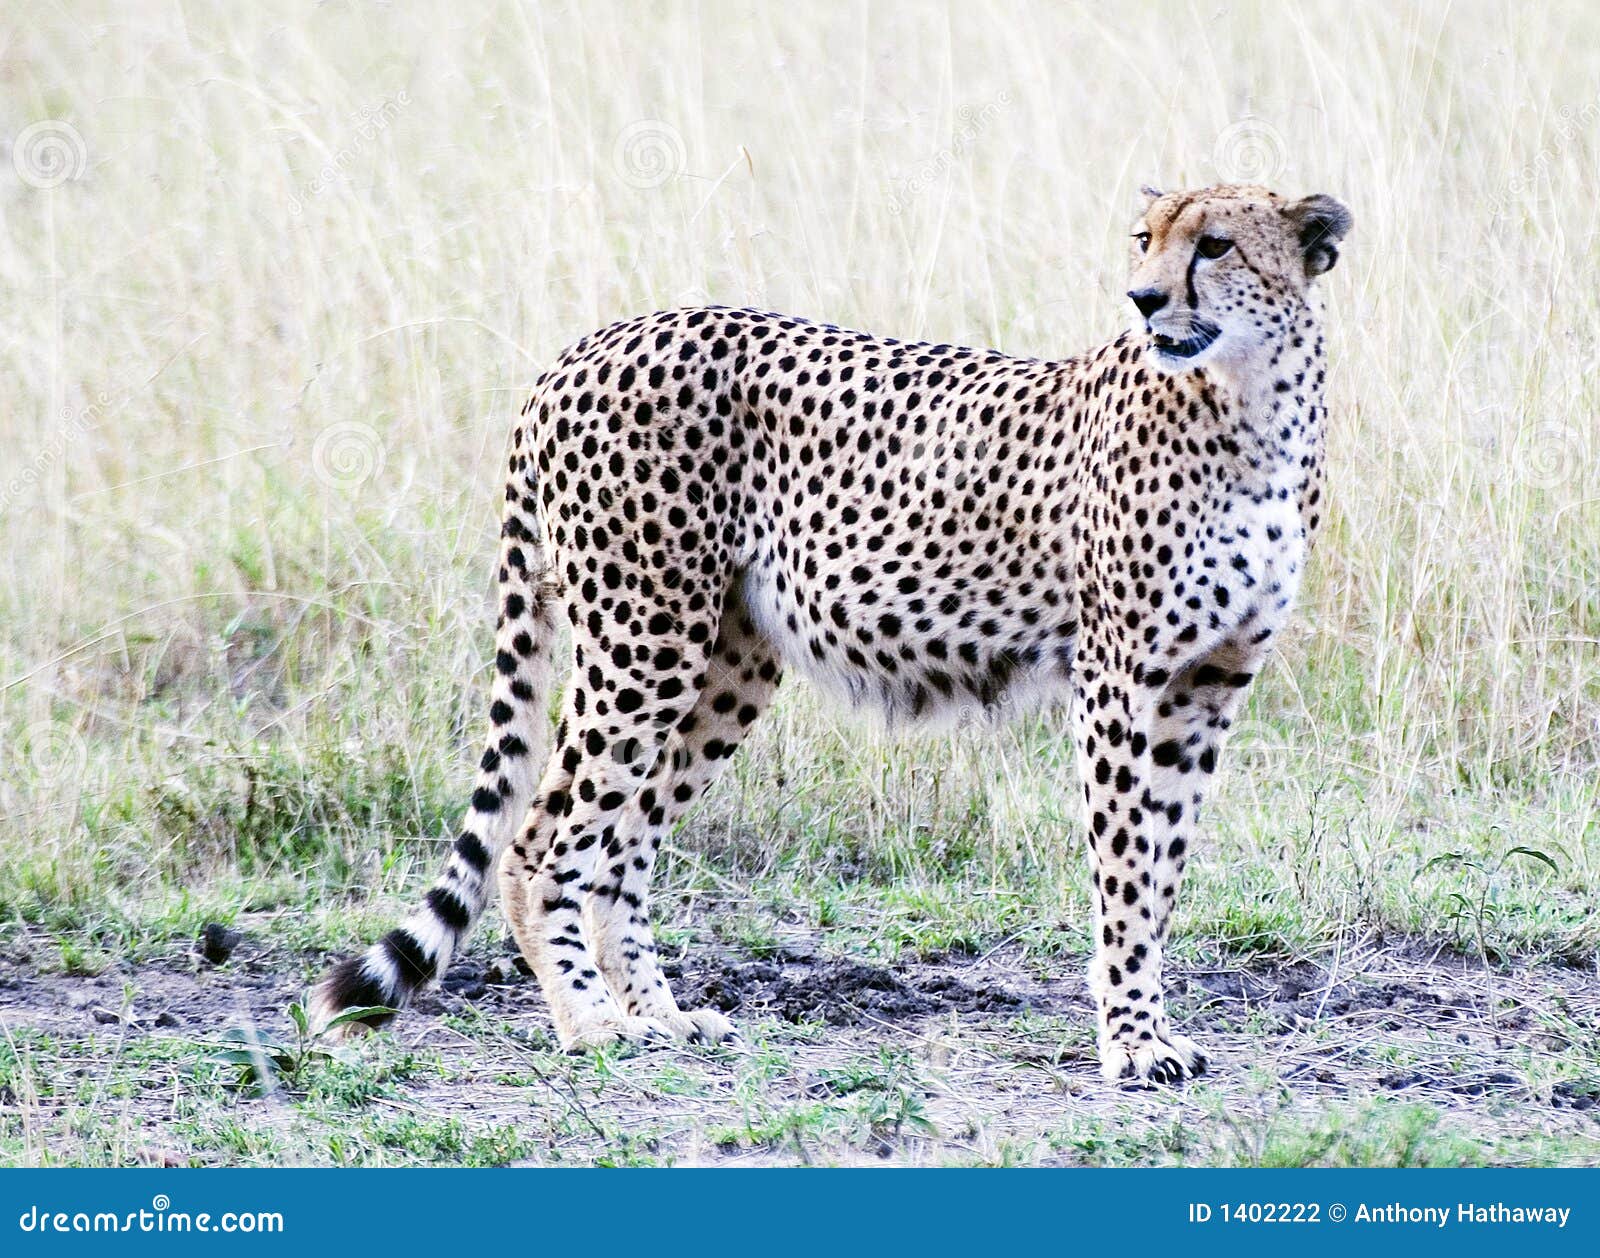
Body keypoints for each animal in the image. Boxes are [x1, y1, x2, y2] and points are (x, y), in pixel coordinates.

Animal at [310, 182, 1352, 1084]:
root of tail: (586, 345)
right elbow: (1128, 873)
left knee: (622, 850)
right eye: (1146, 241)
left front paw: (1152, 1028)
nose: (1143, 299)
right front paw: (1132, 1044)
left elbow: (1162, 871)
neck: (1251, 405)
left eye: (1214, 245)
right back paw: (591, 1024)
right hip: (644, 638)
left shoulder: (1206, 688)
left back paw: (661, 1016)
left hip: (723, 661)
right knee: (539, 842)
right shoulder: (1120, 680)